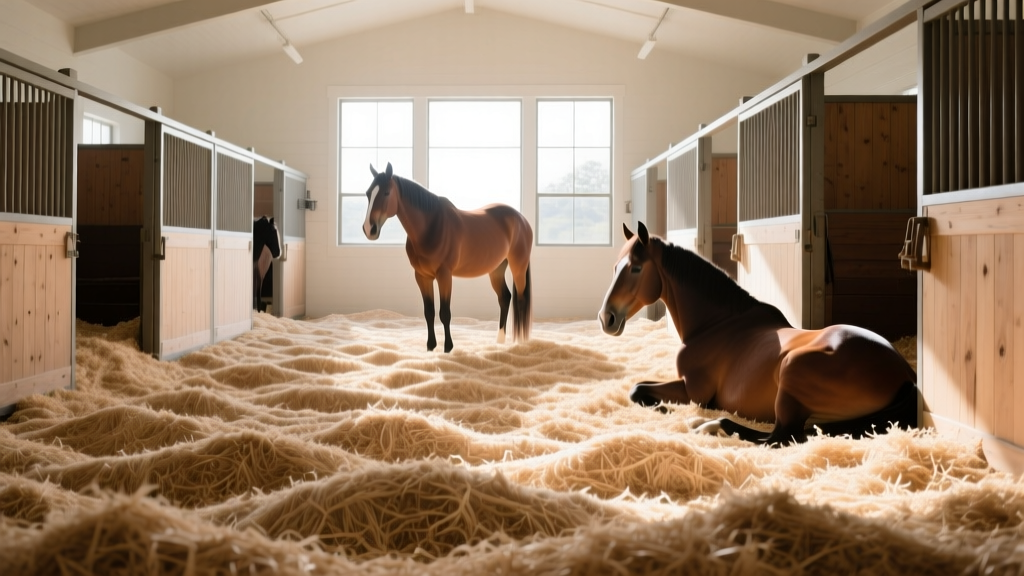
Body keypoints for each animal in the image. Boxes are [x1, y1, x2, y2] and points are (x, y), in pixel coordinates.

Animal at [362, 162, 533, 353]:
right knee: (505, 298)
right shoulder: (422, 276)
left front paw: (448, 348)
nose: (369, 229)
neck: (431, 227)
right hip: (496, 269)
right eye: (368, 193)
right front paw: (430, 347)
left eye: (386, 193)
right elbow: (429, 312)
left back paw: (521, 342)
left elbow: (445, 313)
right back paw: (499, 341)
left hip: (518, 266)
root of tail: (521, 219)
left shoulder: (444, 275)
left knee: (520, 299)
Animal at [598, 221, 918, 446]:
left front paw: (664, 409)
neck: (715, 324)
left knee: (780, 438)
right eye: (614, 267)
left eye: (636, 268)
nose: (606, 318)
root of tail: (905, 374)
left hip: (791, 373)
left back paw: (710, 426)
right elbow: (638, 386)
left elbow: (637, 388)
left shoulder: (694, 391)